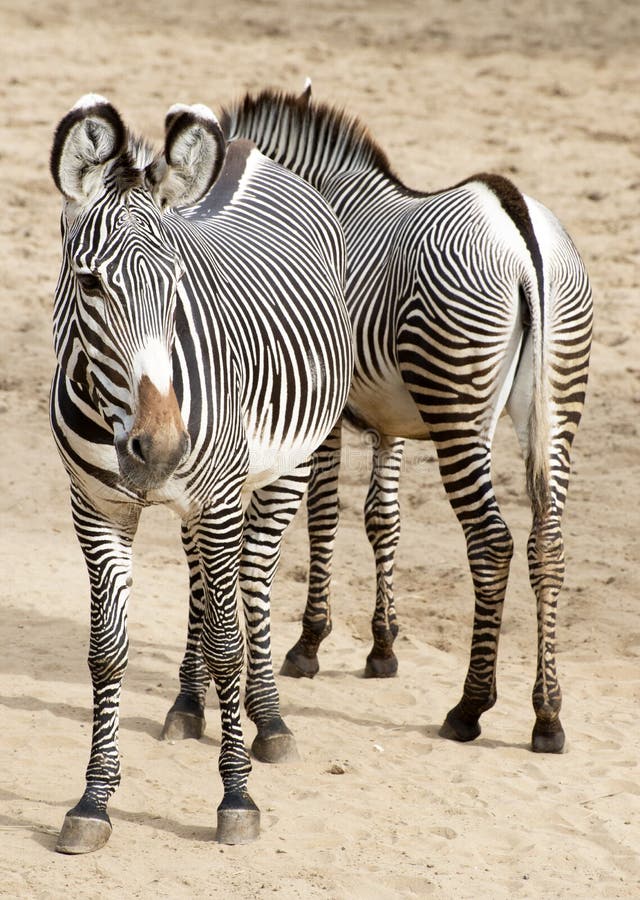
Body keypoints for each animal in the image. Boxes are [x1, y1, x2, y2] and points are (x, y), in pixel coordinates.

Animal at [49, 94, 353, 853]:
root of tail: (245, 148)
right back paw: (189, 705)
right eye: (90, 284)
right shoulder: (97, 509)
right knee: (199, 585)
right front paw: (94, 800)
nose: (158, 447)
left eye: (178, 282)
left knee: (251, 586)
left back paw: (268, 720)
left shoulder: (218, 500)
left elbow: (227, 646)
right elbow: (108, 651)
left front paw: (236, 795)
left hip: (285, 469)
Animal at [171, 85, 592, 756]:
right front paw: (383, 646)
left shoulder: (324, 418)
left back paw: (470, 706)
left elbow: (324, 517)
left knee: (492, 542)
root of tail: (516, 220)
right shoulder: (390, 423)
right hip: (556, 409)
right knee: (546, 542)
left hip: (458, 410)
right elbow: (382, 521)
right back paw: (548, 716)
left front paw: (310, 643)